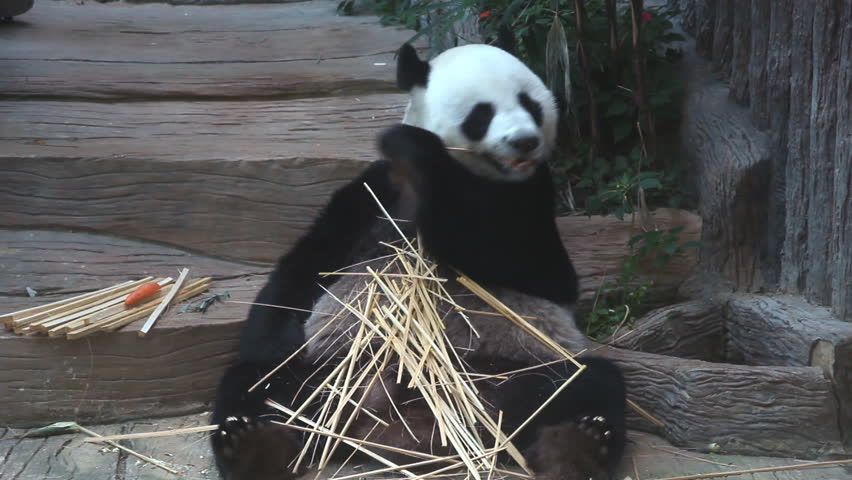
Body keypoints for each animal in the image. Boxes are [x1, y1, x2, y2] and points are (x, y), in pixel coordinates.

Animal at [211, 43, 627, 480]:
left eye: (530, 104)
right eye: (482, 113)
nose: (525, 141)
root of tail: (410, 433)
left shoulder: (532, 195)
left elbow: (531, 266)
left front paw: (417, 149)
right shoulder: (370, 193)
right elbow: (307, 267)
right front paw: (275, 339)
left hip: (510, 371)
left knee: (583, 385)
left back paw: (576, 447)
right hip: (339, 373)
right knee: (261, 387)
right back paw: (254, 447)